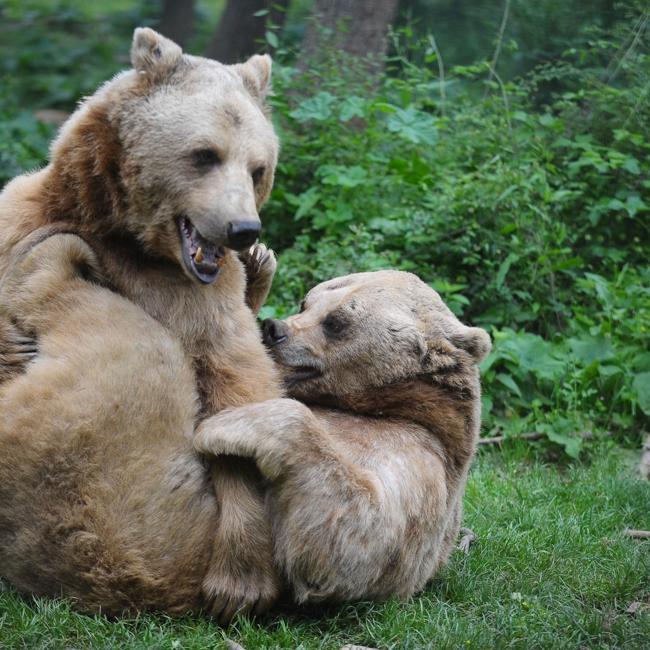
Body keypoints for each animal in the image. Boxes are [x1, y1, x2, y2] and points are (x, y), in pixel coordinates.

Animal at [0, 27, 284, 619]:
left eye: (258, 168)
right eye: (205, 154)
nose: (243, 229)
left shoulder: (202, 303)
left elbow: (239, 393)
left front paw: (239, 581)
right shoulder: (20, 220)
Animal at [193, 270, 491, 603]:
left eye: (335, 322)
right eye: (306, 302)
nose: (273, 329)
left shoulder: (419, 453)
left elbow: (359, 535)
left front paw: (227, 425)